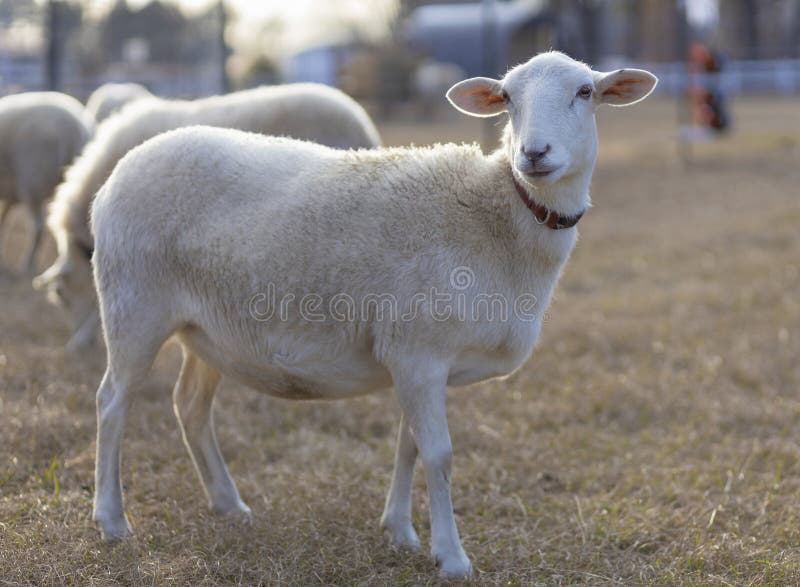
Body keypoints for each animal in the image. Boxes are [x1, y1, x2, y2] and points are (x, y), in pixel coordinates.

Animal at [0, 92, 92, 272]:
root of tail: (77, 129)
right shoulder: (10, 195)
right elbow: (3, 219)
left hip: (33, 181)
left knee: (38, 225)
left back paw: (28, 264)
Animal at [89, 52, 656, 577]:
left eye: (585, 92)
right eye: (508, 98)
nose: (534, 153)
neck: (497, 217)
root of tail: (115, 174)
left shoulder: (417, 360)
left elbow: (409, 447)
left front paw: (401, 531)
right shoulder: (419, 353)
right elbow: (440, 455)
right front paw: (452, 558)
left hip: (206, 330)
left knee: (190, 406)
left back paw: (228, 504)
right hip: (132, 304)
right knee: (112, 403)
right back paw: (112, 520)